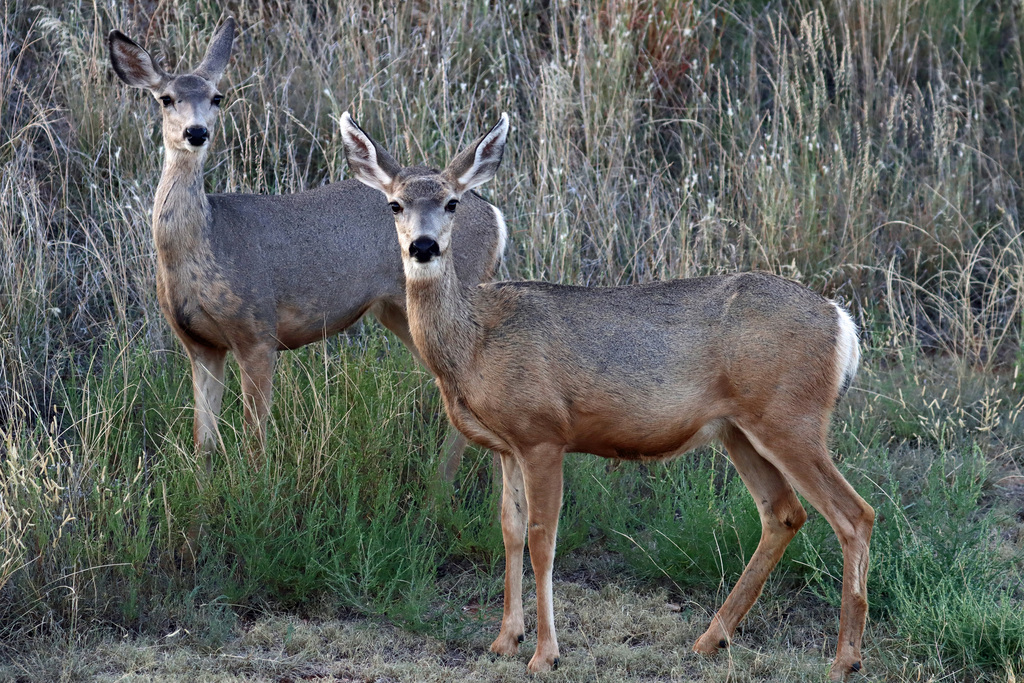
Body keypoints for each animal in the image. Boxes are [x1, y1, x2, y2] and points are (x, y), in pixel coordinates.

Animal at [107, 19, 506, 477]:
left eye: (216, 97)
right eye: (166, 98)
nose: (196, 132)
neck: (205, 245)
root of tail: (494, 216)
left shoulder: (258, 331)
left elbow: (254, 440)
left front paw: (255, 486)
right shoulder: (198, 344)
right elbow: (203, 442)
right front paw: (207, 485)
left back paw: (441, 484)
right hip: (397, 312)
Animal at [339, 110, 874, 680]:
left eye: (452, 203)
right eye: (394, 204)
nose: (423, 247)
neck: (475, 343)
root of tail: (842, 323)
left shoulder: (542, 434)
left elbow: (542, 538)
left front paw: (544, 654)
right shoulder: (506, 446)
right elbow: (509, 529)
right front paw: (504, 640)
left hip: (790, 417)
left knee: (854, 514)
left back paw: (844, 659)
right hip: (739, 431)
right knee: (784, 513)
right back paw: (710, 639)